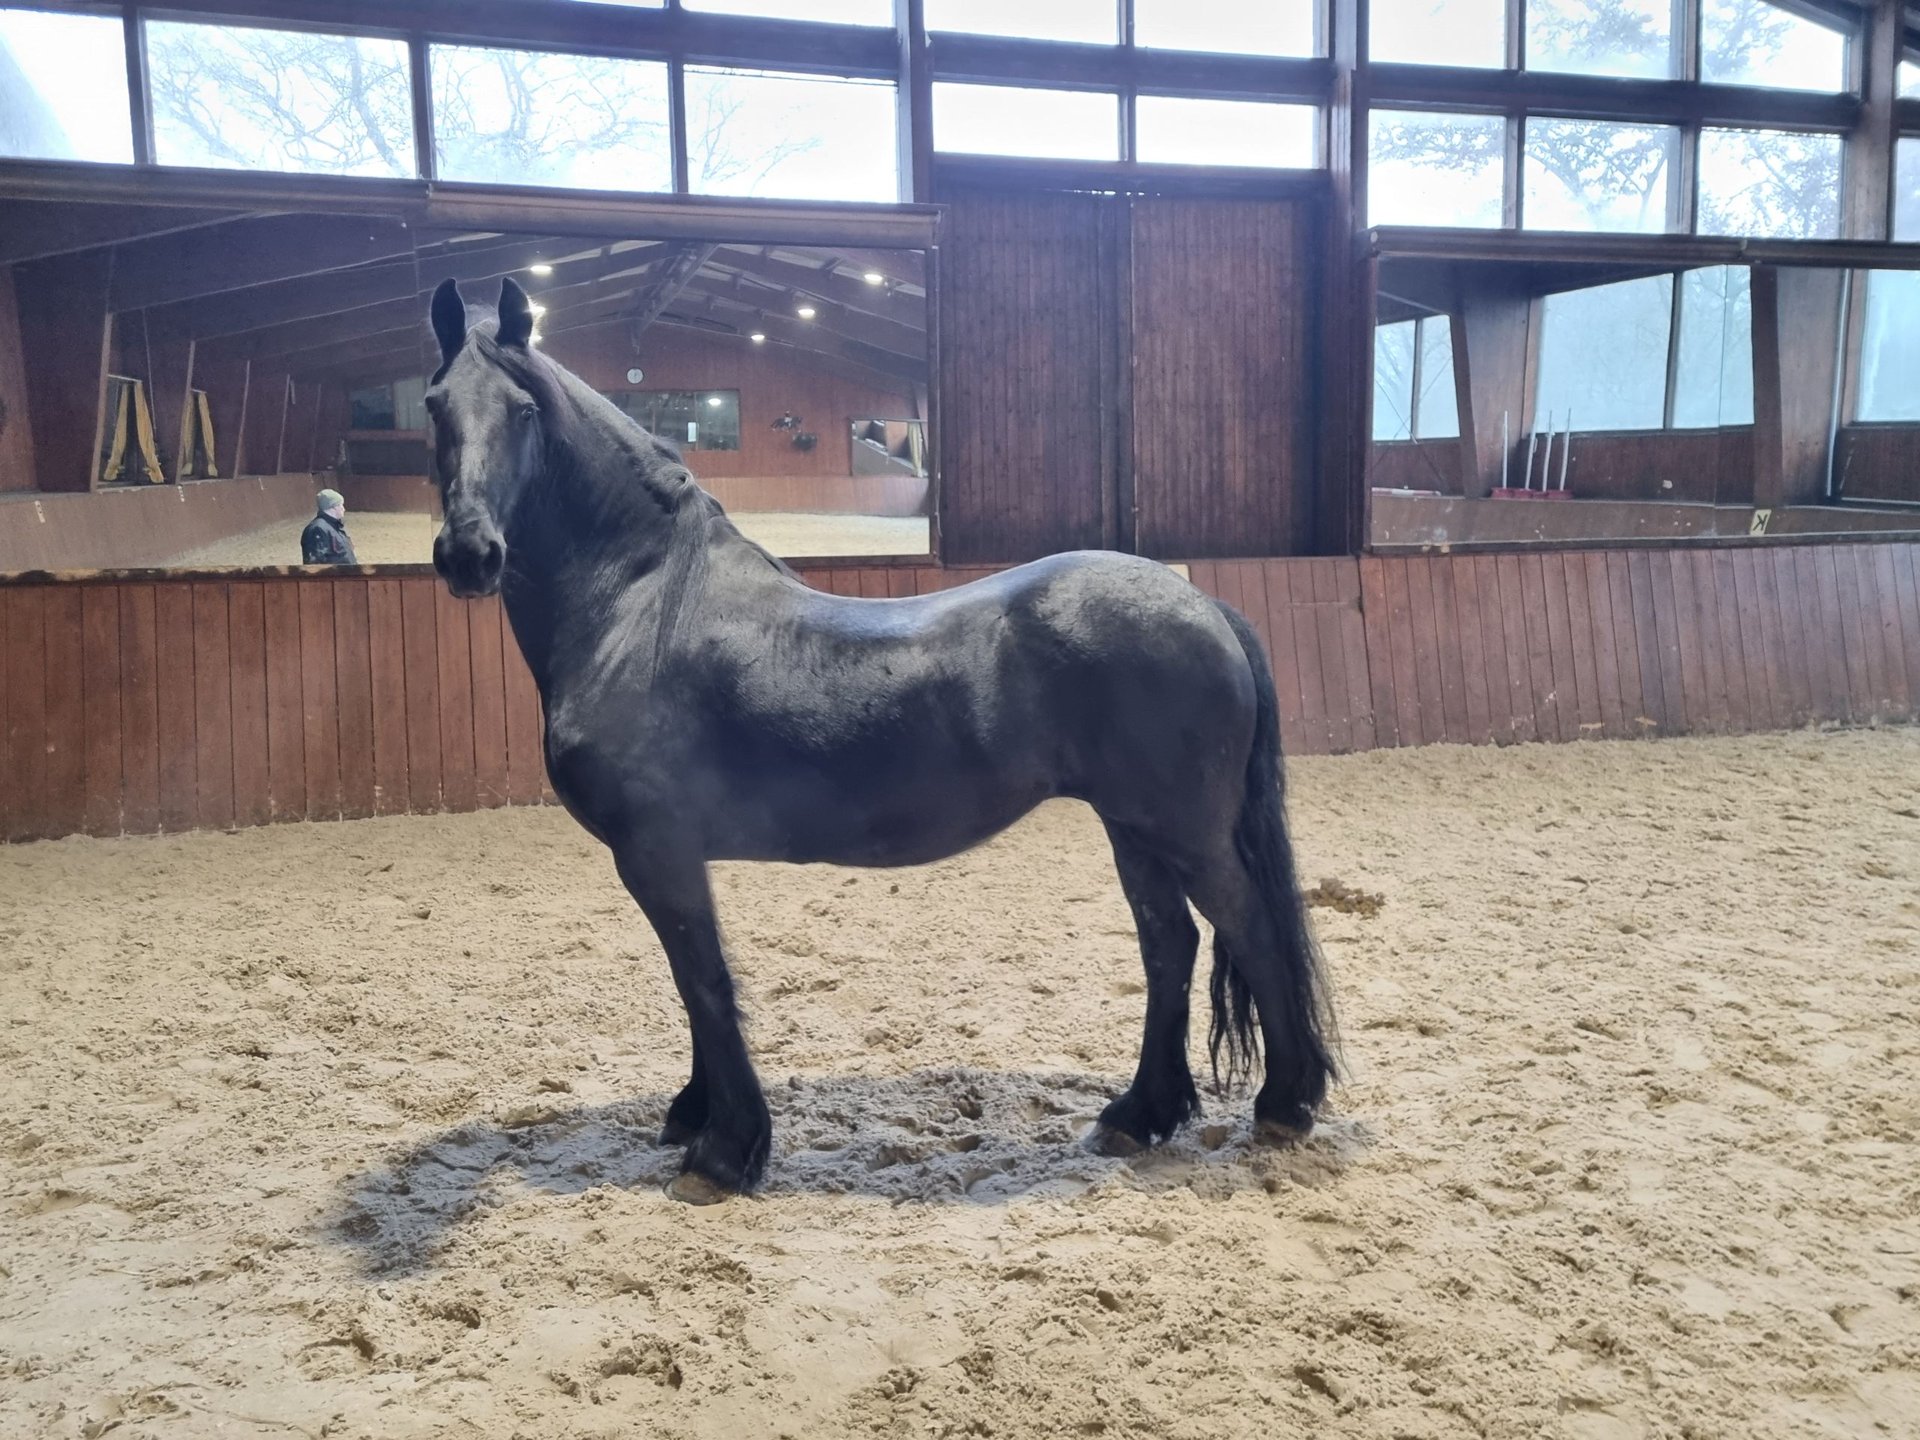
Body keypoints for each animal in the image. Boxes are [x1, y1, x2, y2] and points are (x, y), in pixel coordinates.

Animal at [424, 276, 1338, 1204]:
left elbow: (703, 981)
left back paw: (1283, 1106)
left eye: (522, 410)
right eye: (434, 406)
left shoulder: (658, 851)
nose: (469, 554)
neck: (641, 603)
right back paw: (1139, 1115)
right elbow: (694, 985)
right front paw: (695, 1116)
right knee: (1169, 946)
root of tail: (1206, 604)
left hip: (1183, 830)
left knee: (1250, 927)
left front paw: (723, 1152)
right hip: (1134, 828)